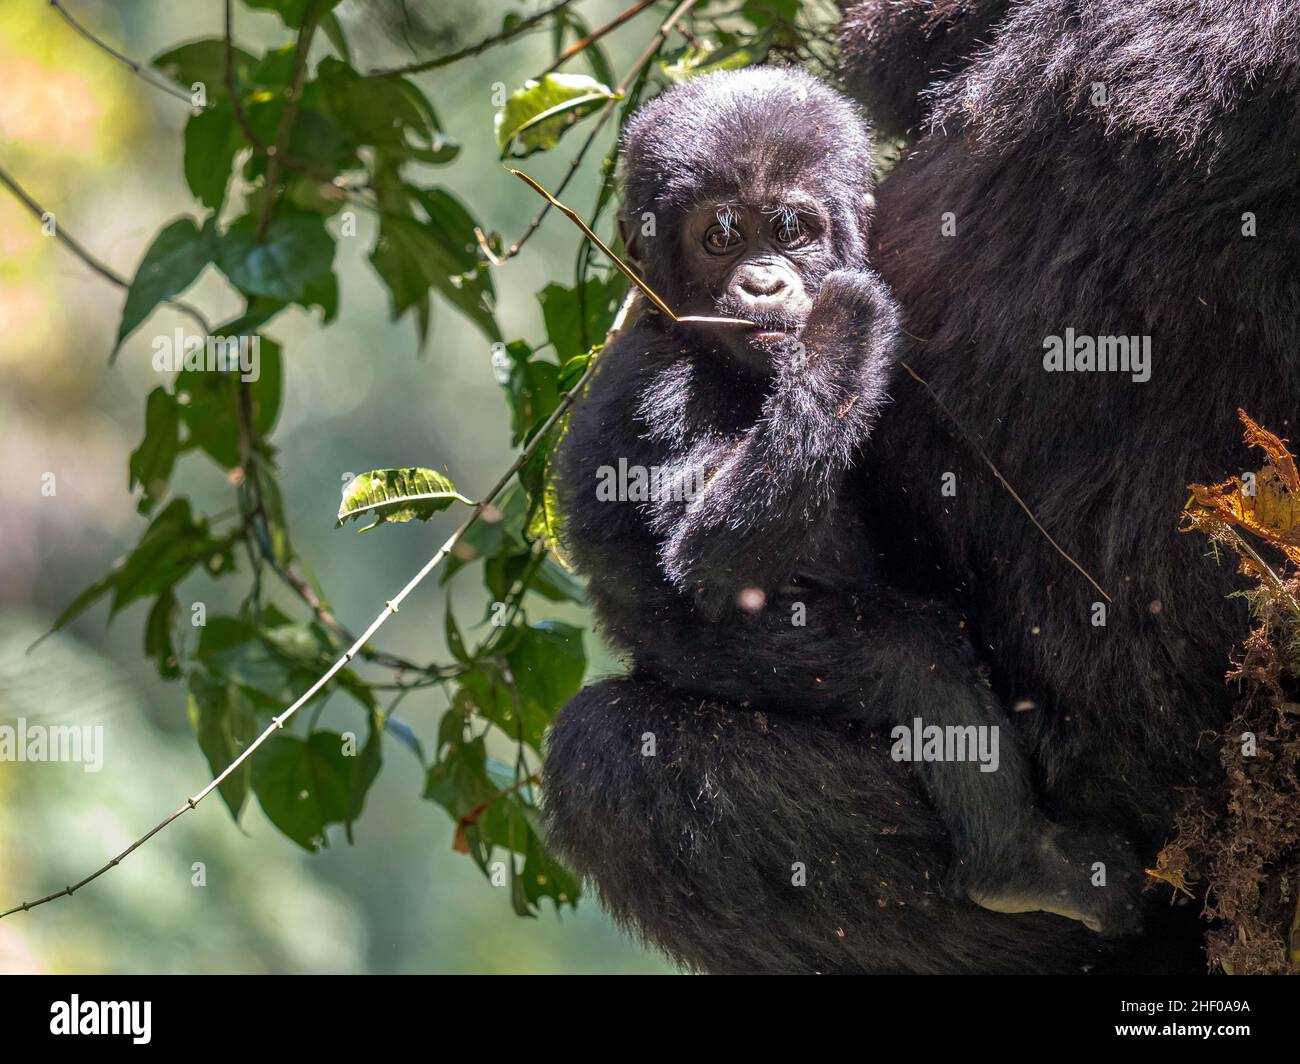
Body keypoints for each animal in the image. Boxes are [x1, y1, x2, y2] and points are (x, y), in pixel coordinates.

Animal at [556, 66, 1138, 931]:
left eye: (791, 228)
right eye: (720, 237)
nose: (764, 281)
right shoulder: (662, 394)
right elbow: (710, 552)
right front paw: (844, 325)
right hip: (726, 660)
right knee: (912, 660)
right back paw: (1017, 866)